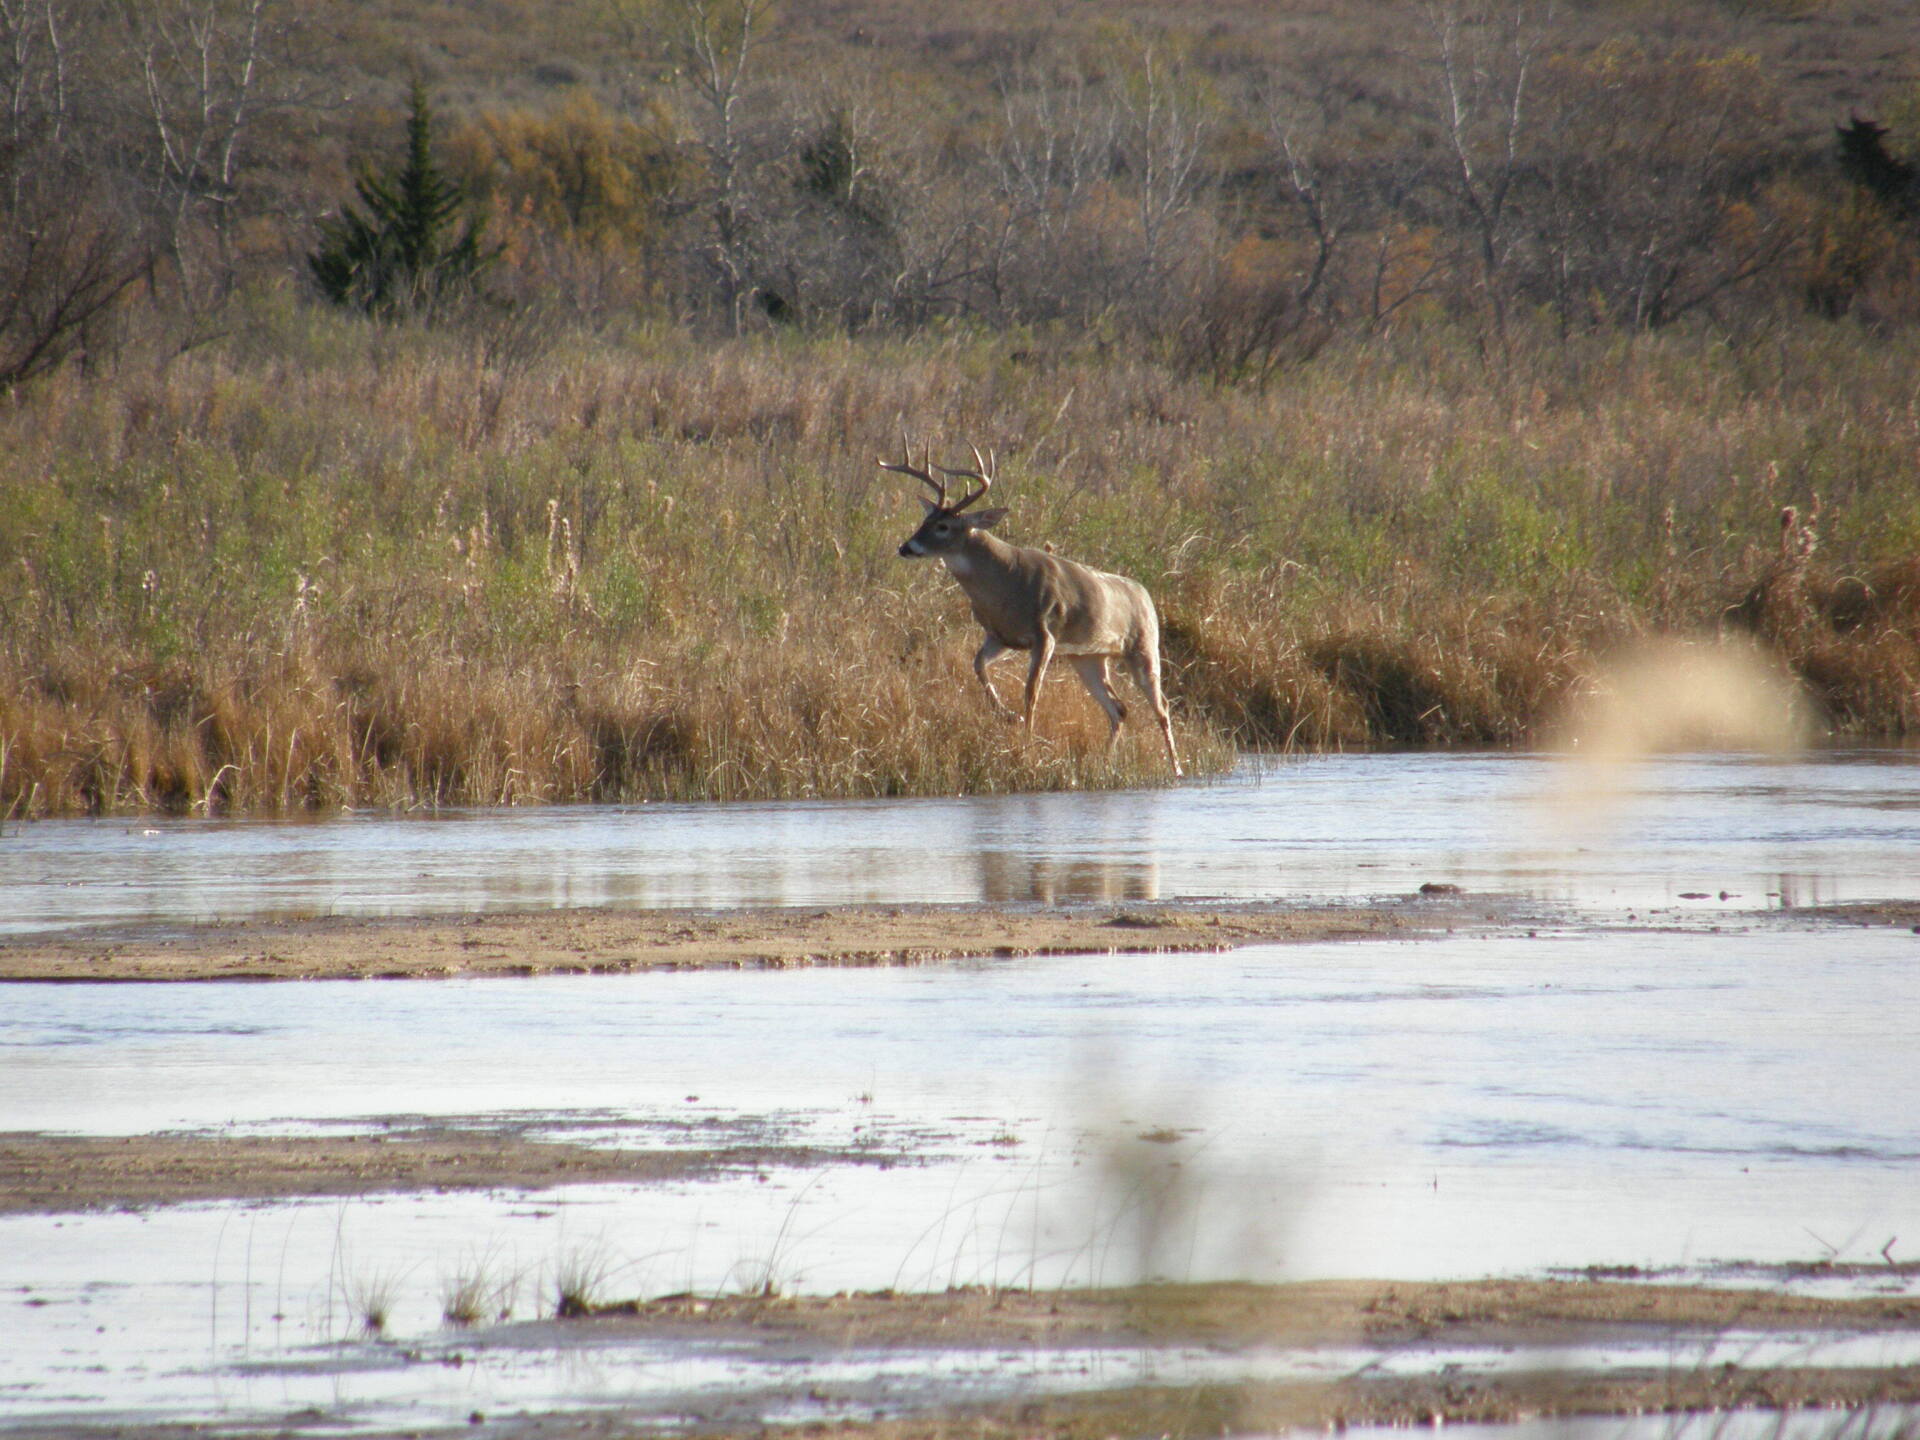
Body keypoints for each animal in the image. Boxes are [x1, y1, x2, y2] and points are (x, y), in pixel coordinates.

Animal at [881, 439, 1182, 777]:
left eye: (944, 526)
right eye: (925, 521)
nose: (906, 547)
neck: (1005, 583)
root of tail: (1145, 594)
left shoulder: (1044, 633)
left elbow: (1031, 692)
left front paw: (1027, 744)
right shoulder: (1000, 636)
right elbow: (978, 666)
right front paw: (1007, 715)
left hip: (1143, 647)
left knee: (1162, 707)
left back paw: (1176, 768)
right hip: (1088, 657)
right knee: (1118, 708)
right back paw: (1106, 762)